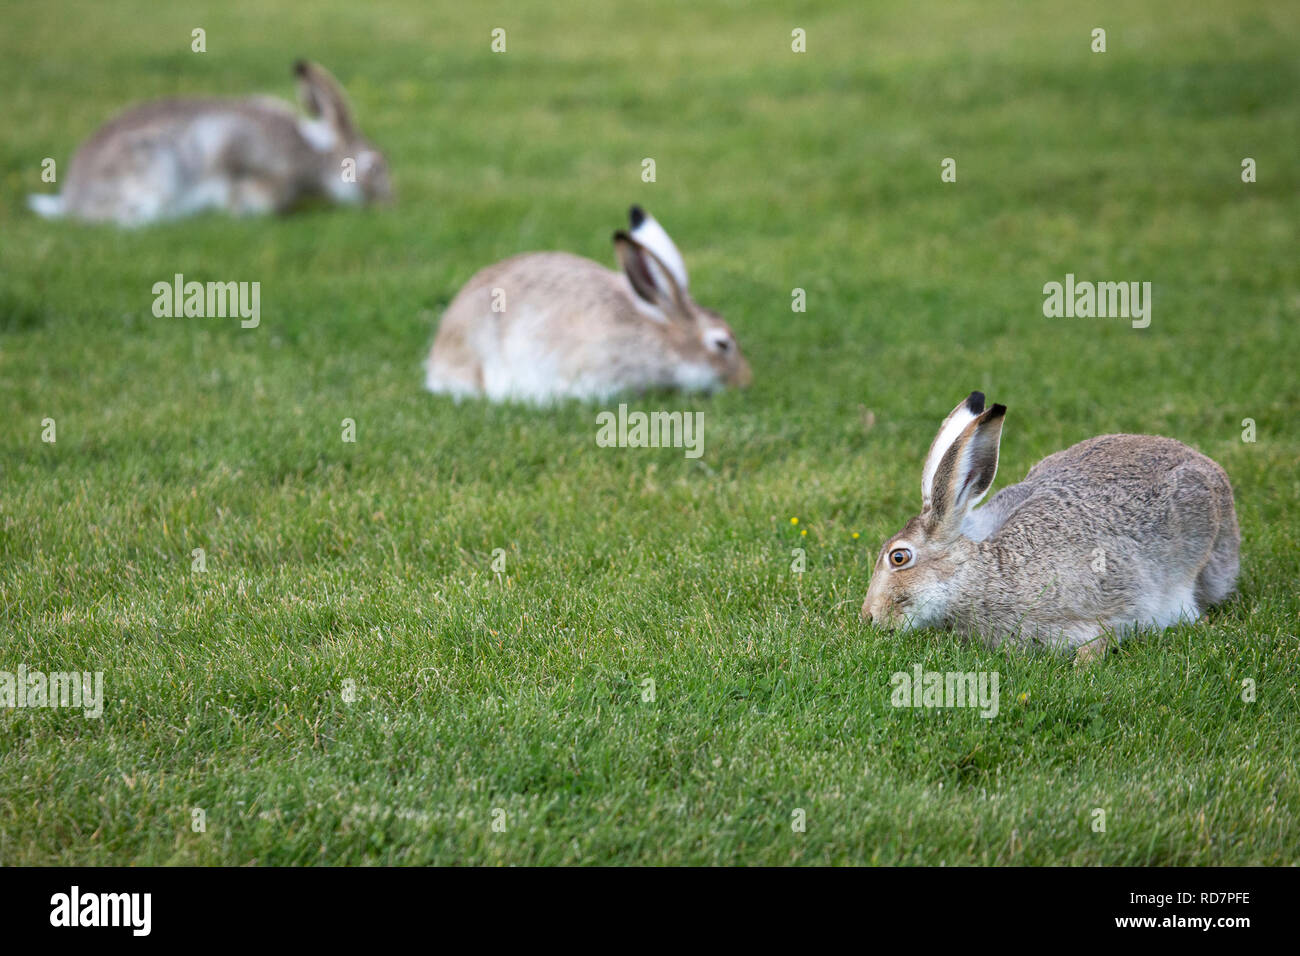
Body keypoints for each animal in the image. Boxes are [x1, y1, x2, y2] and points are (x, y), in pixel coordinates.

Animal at [28, 60, 390, 226]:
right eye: (373, 165)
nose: (389, 204)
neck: (312, 156)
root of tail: (71, 198)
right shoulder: (235, 149)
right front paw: (237, 207)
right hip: (153, 170)